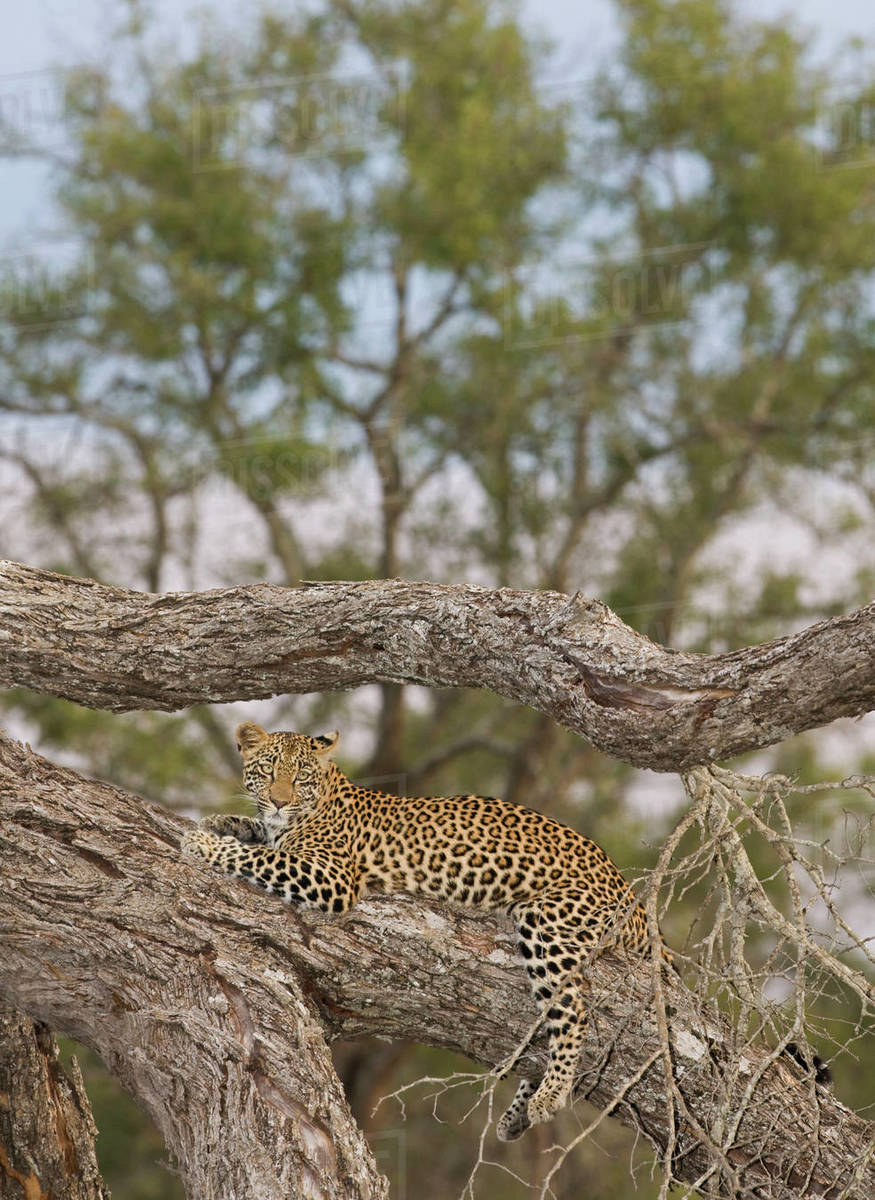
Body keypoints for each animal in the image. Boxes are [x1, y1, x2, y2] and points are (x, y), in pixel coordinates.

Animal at [181, 723, 660, 1140]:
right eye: (268, 771)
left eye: (300, 777)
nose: (280, 802)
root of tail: (629, 892)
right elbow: (257, 835)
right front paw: (220, 822)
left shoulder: (331, 876)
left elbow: (260, 857)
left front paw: (204, 842)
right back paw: (517, 1115)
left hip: (548, 923)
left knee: (572, 1011)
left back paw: (549, 1096)